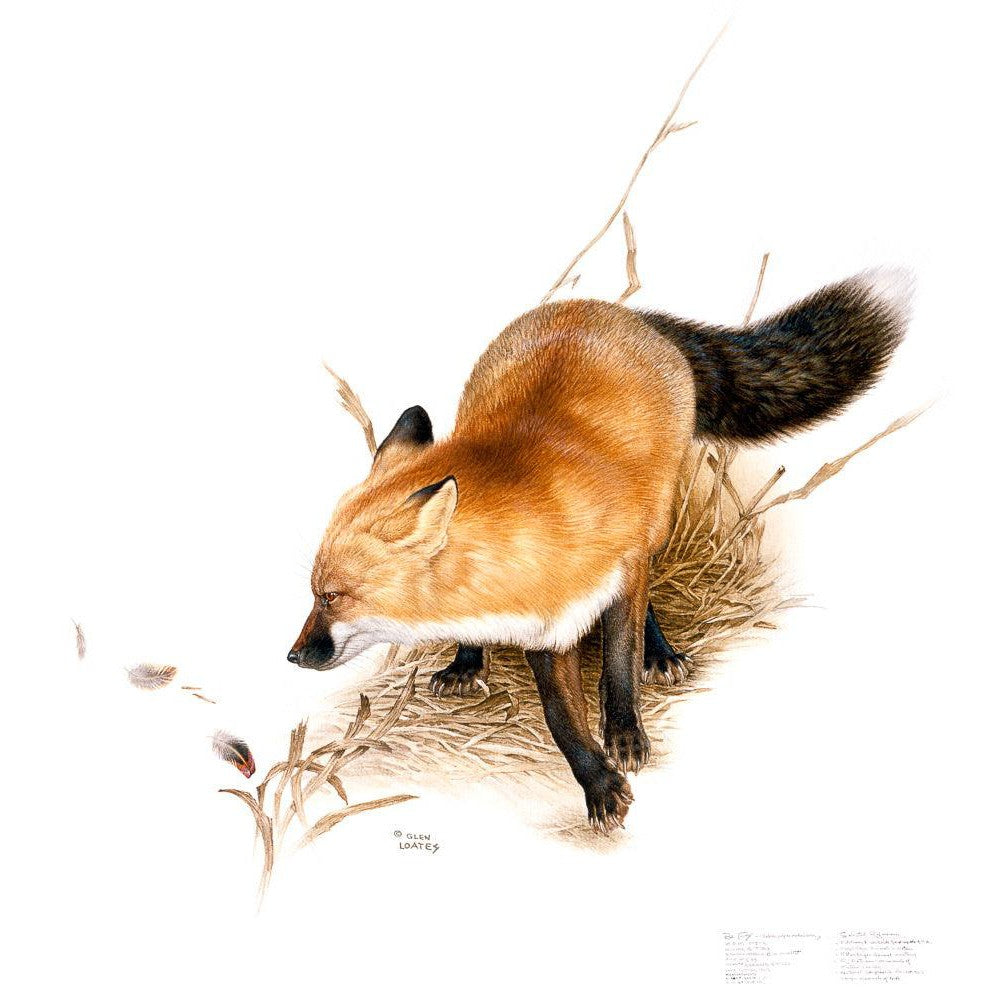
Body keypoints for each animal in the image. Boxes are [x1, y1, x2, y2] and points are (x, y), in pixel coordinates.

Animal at [288, 270, 909, 832]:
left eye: (332, 596)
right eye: (315, 594)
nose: (293, 657)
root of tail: (617, 312)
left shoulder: (616, 576)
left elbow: (618, 667)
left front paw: (625, 734)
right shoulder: (544, 625)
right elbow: (562, 719)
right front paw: (598, 783)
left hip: (656, 519)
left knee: (647, 599)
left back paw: (661, 653)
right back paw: (467, 662)